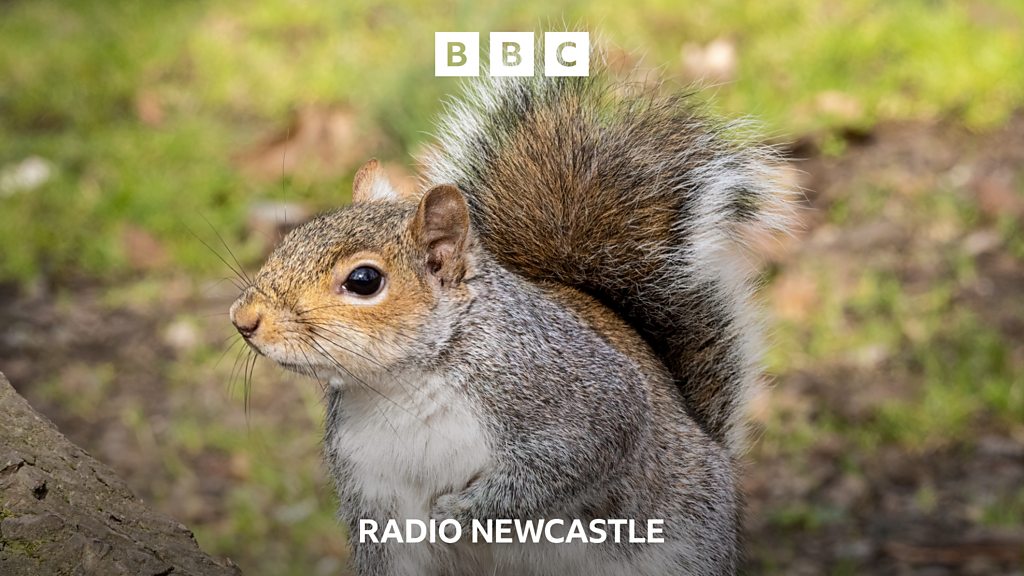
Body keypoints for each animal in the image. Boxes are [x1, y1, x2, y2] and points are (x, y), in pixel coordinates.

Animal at [229, 63, 790, 575]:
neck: (401, 386)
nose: (244, 319)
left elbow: (564, 465)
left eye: (364, 280)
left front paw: (460, 512)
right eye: (292, 237)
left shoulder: (582, 395)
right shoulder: (372, 497)